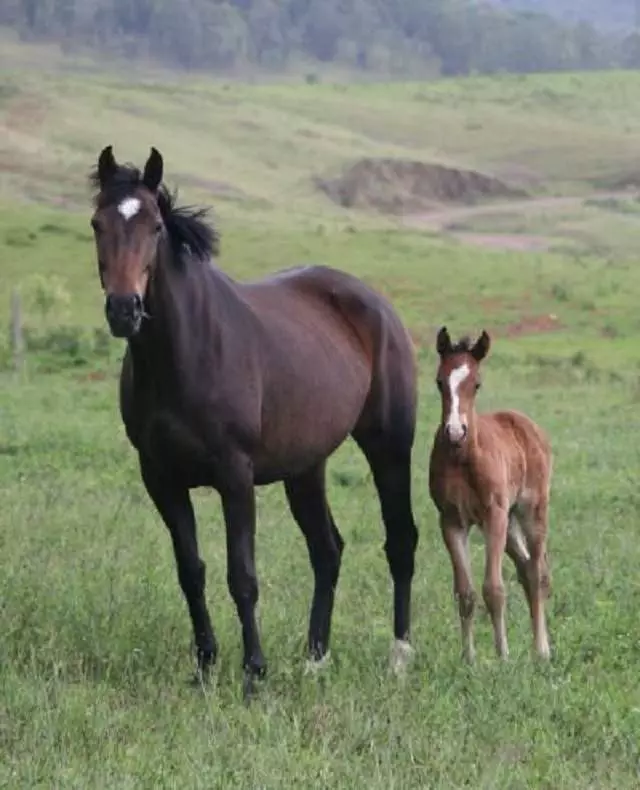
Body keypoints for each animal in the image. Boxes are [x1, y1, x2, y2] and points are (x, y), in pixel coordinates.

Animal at [89, 147, 420, 692]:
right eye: (97, 223)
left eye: (155, 225)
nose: (124, 310)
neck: (184, 353)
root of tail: (375, 303)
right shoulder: (161, 478)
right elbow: (191, 571)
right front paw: (205, 666)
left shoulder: (235, 476)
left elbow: (242, 576)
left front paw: (253, 673)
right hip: (305, 468)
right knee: (327, 550)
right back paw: (315, 657)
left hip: (388, 447)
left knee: (401, 540)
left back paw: (399, 656)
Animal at [428, 326, 552, 664]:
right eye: (439, 381)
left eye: (477, 383)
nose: (454, 431)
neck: (462, 457)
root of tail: (526, 424)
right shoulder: (451, 521)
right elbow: (466, 593)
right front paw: (468, 659)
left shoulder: (492, 513)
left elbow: (494, 589)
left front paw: (503, 657)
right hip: (507, 525)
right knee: (525, 568)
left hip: (530, 512)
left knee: (537, 571)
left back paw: (542, 650)